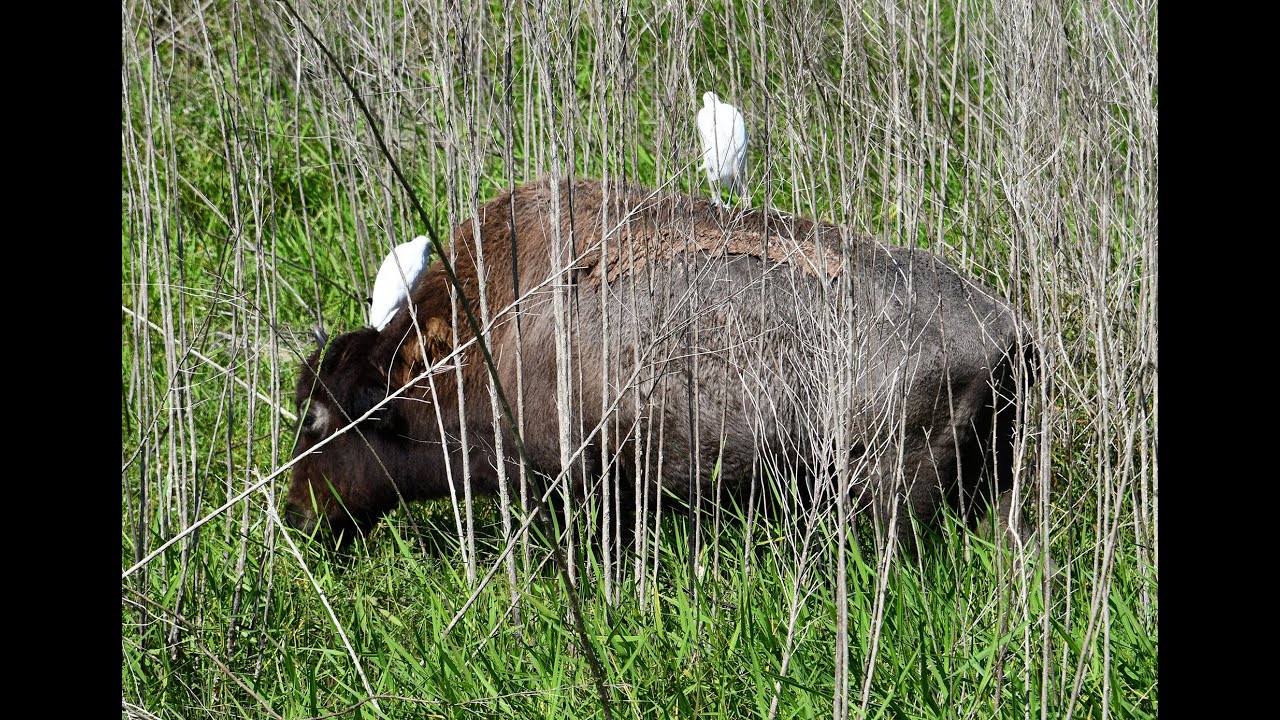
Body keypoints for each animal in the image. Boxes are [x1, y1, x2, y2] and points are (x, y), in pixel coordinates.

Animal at [284, 177, 1037, 553]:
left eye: (318, 418)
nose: (294, 514)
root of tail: (1010, 327)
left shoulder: (581, 485)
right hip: (998, 480)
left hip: (893, 483)